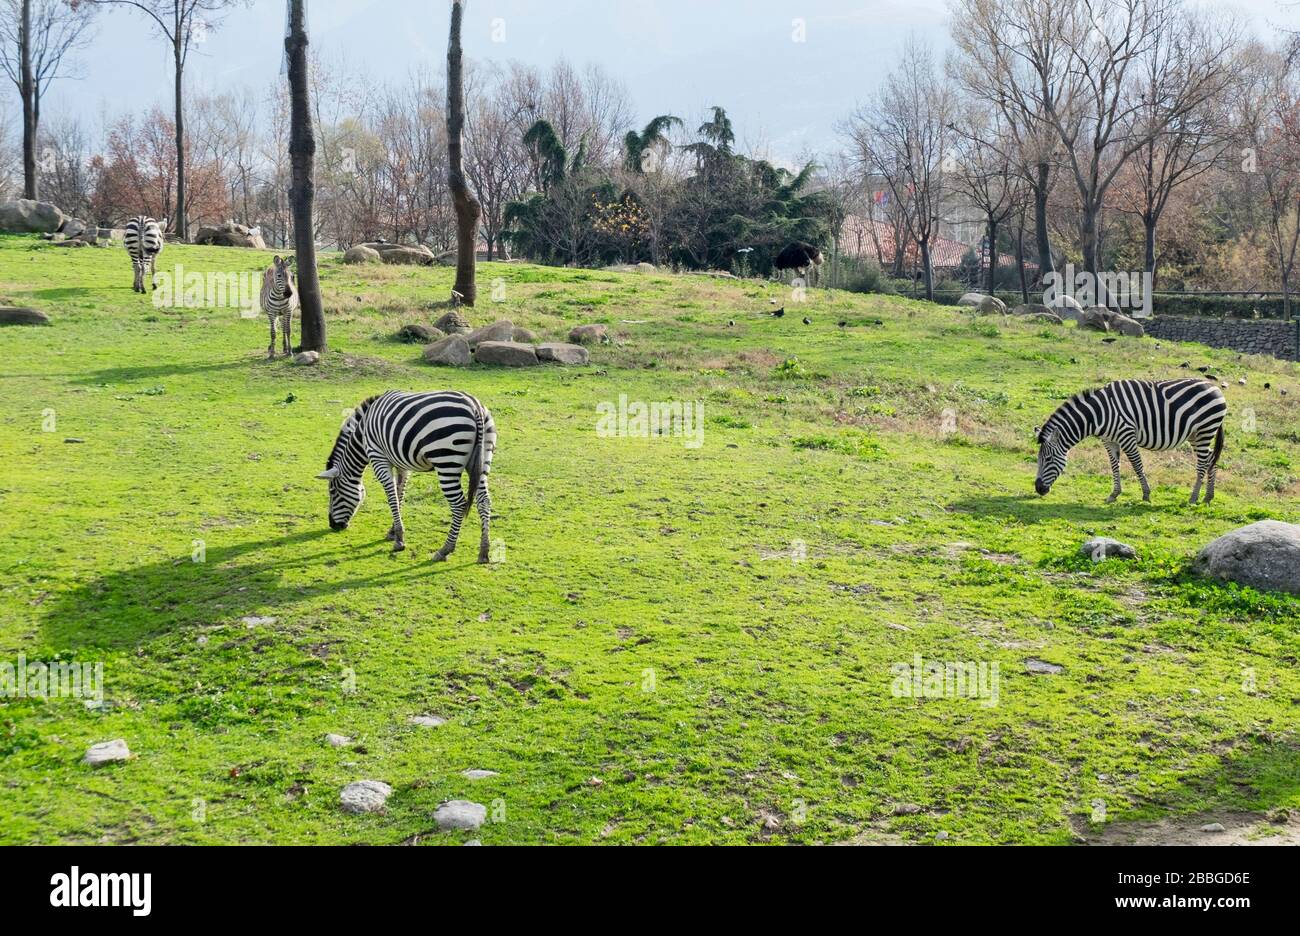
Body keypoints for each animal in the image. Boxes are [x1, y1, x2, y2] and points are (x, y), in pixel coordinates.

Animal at [316, 390, 497, 562]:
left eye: (332, 492)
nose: (333, 525)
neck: (363, 434)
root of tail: (475, 406)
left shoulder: (378, 457)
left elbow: (391, 497)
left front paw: (399, 540)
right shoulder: (402, 464)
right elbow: (399, 494)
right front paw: (393, 532)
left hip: (446, 461)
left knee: (459, 504)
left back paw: (445, 549)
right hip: (482, 459)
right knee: (484, 500)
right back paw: (483, 552)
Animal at [1034, 378, 1227, 505]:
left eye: (1048, 459)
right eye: (1038, 459)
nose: (1038, 489)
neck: (1098, 415)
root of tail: (1214, 387)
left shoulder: (1127, 435)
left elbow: (1136, 465)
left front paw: (1146, 494)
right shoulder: (1109, 441)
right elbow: (1114, 466)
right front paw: (1114, 494)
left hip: (1205, 430)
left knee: (1202, 462)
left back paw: (1193, 498)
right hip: (1196, 434)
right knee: (1210, 458)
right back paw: (1208, 497)